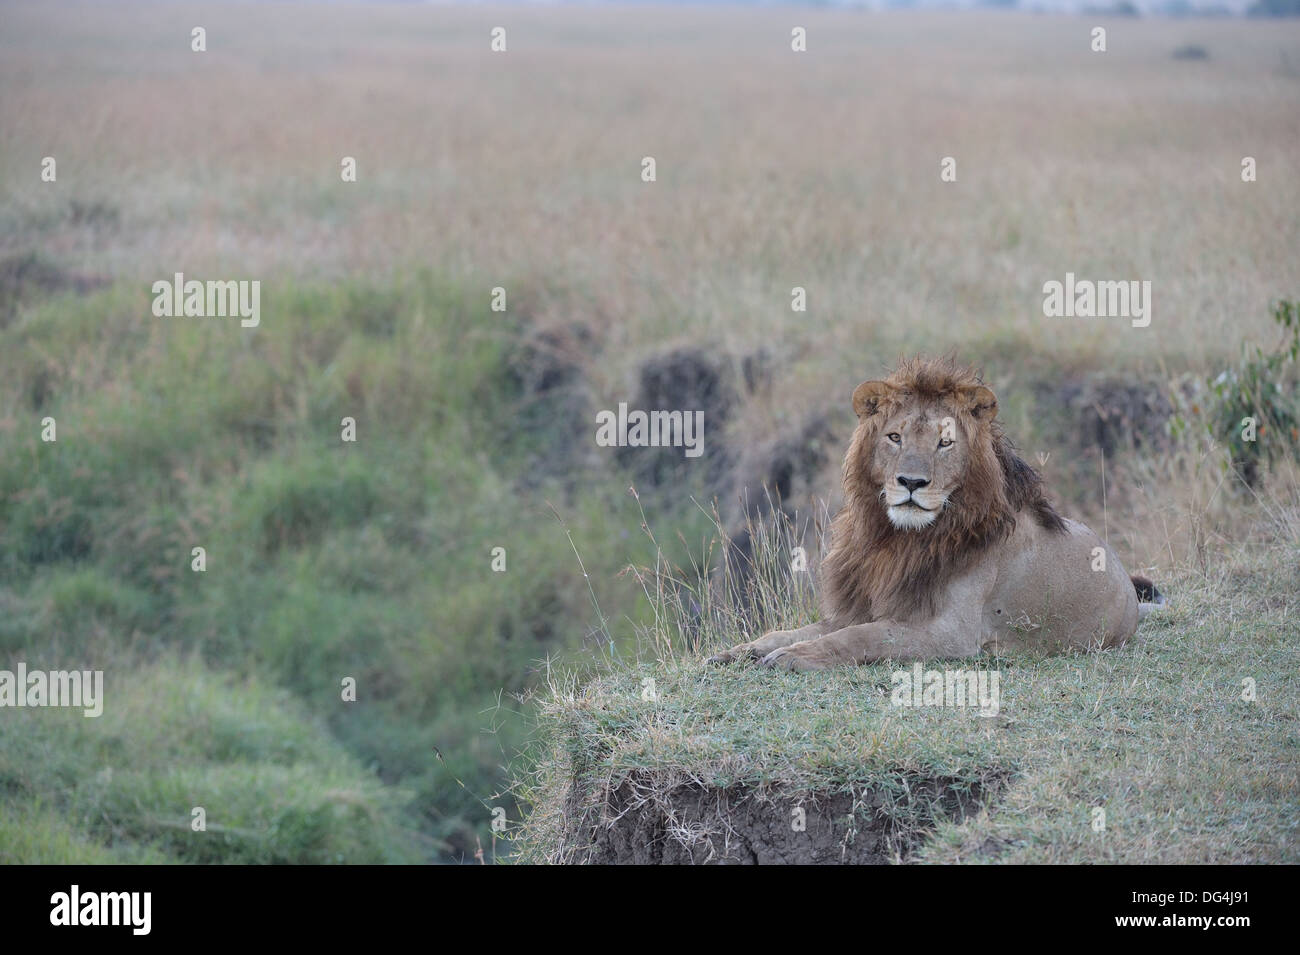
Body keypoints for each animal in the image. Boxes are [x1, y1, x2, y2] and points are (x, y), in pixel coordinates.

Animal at [709, 356, 1165, 671]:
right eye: (894, 437)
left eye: (945, 442)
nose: (911, 482)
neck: (897, 540)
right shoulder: (861, 605)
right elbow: (796, 629)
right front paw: (741, 651)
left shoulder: (952, 634)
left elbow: (863, 637)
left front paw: (793, 657)